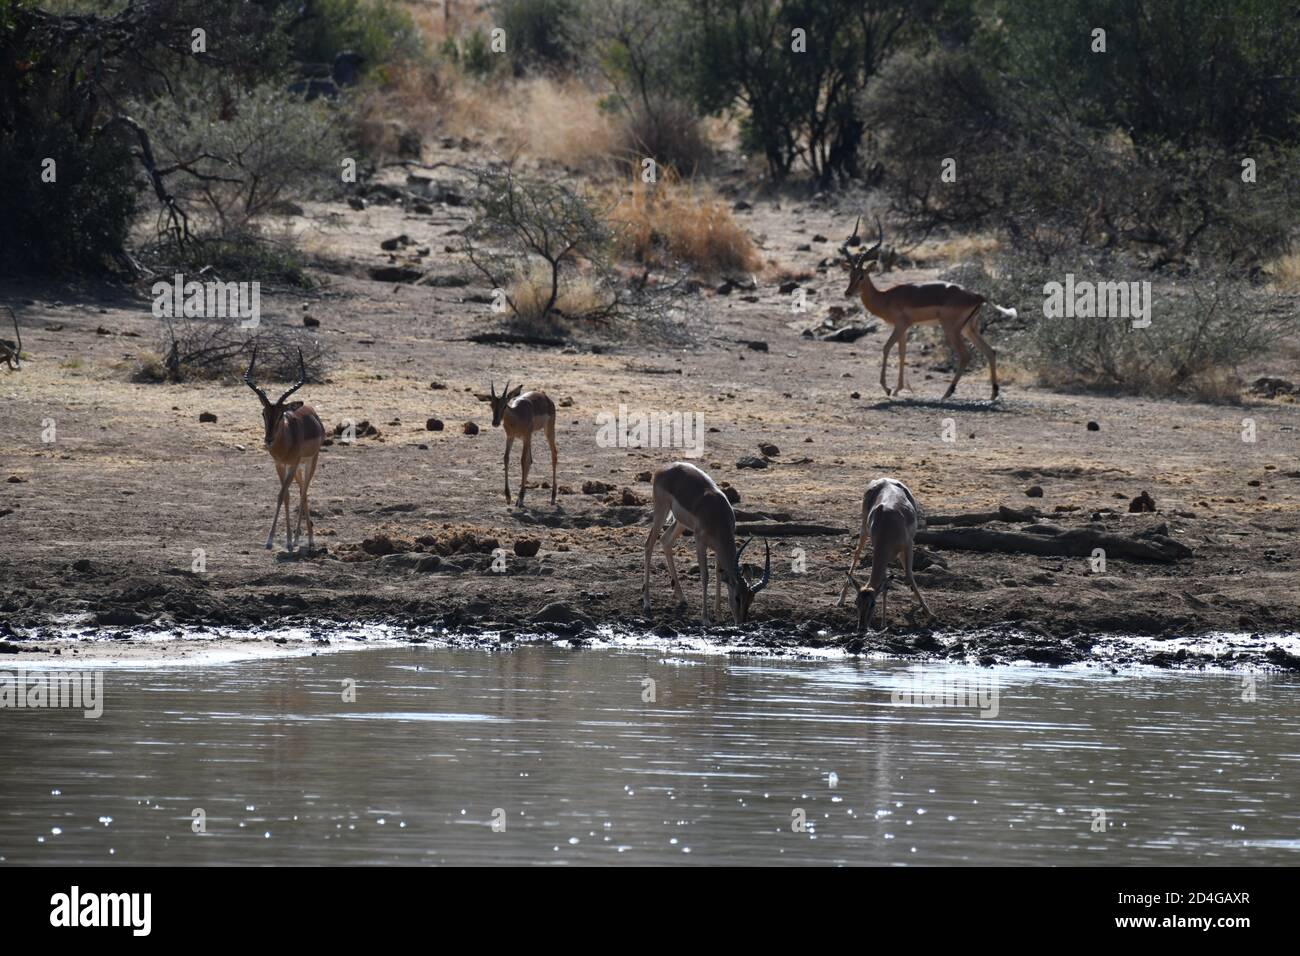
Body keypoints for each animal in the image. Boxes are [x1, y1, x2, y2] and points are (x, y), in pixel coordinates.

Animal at [244, 349, 324, 552]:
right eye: (263, 413)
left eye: (281, 414)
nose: (268, 439)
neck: (286, 442)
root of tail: (312, 412)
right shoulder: (280, 464)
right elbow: (284, 495)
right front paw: (275, 540)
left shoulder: (293, 463)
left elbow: (283, 495)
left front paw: (284, 541)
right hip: (296, 468)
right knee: (302, 490)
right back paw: (297, 539)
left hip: (310, 461)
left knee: (304, 491)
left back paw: (307, 541)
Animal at [642, 462, 771, 625]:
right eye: (737, 598)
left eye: (751, 599)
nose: (741, 622)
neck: (717, 515)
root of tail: (664, 468)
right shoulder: (700, 542)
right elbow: (705, 576)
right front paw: (705, 619)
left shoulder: (717, 549)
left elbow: (718, 575)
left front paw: (719, 616)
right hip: (661, 512)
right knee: (649, 544)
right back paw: (647, 603)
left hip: (680, 523)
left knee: (665, 541)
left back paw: (682, 598)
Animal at [836, 477, 932, 631]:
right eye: (856, 602)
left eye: (872, 603)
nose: (861, 628)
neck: (888, 526)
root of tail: (884, 479)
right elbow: (886, 583)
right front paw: (884, 623)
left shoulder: (908, 545)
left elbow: (908, 575)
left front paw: (929, 613)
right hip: (864, 528)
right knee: (857, 553)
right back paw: (840, 600)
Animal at [840, 216, 1016, 400]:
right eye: (850, 275)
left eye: (862, 276)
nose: (847, 292)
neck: (886, 297)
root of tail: (977, 296)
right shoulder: (904, 328)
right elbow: (902, 352)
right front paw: (897, 389)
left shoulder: (901, 325)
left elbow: (886, 348)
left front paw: (887, 388)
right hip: (969, 328)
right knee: (990, 351)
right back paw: (993, 393)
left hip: (951, 329)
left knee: (966, 355)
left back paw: (947, 393)